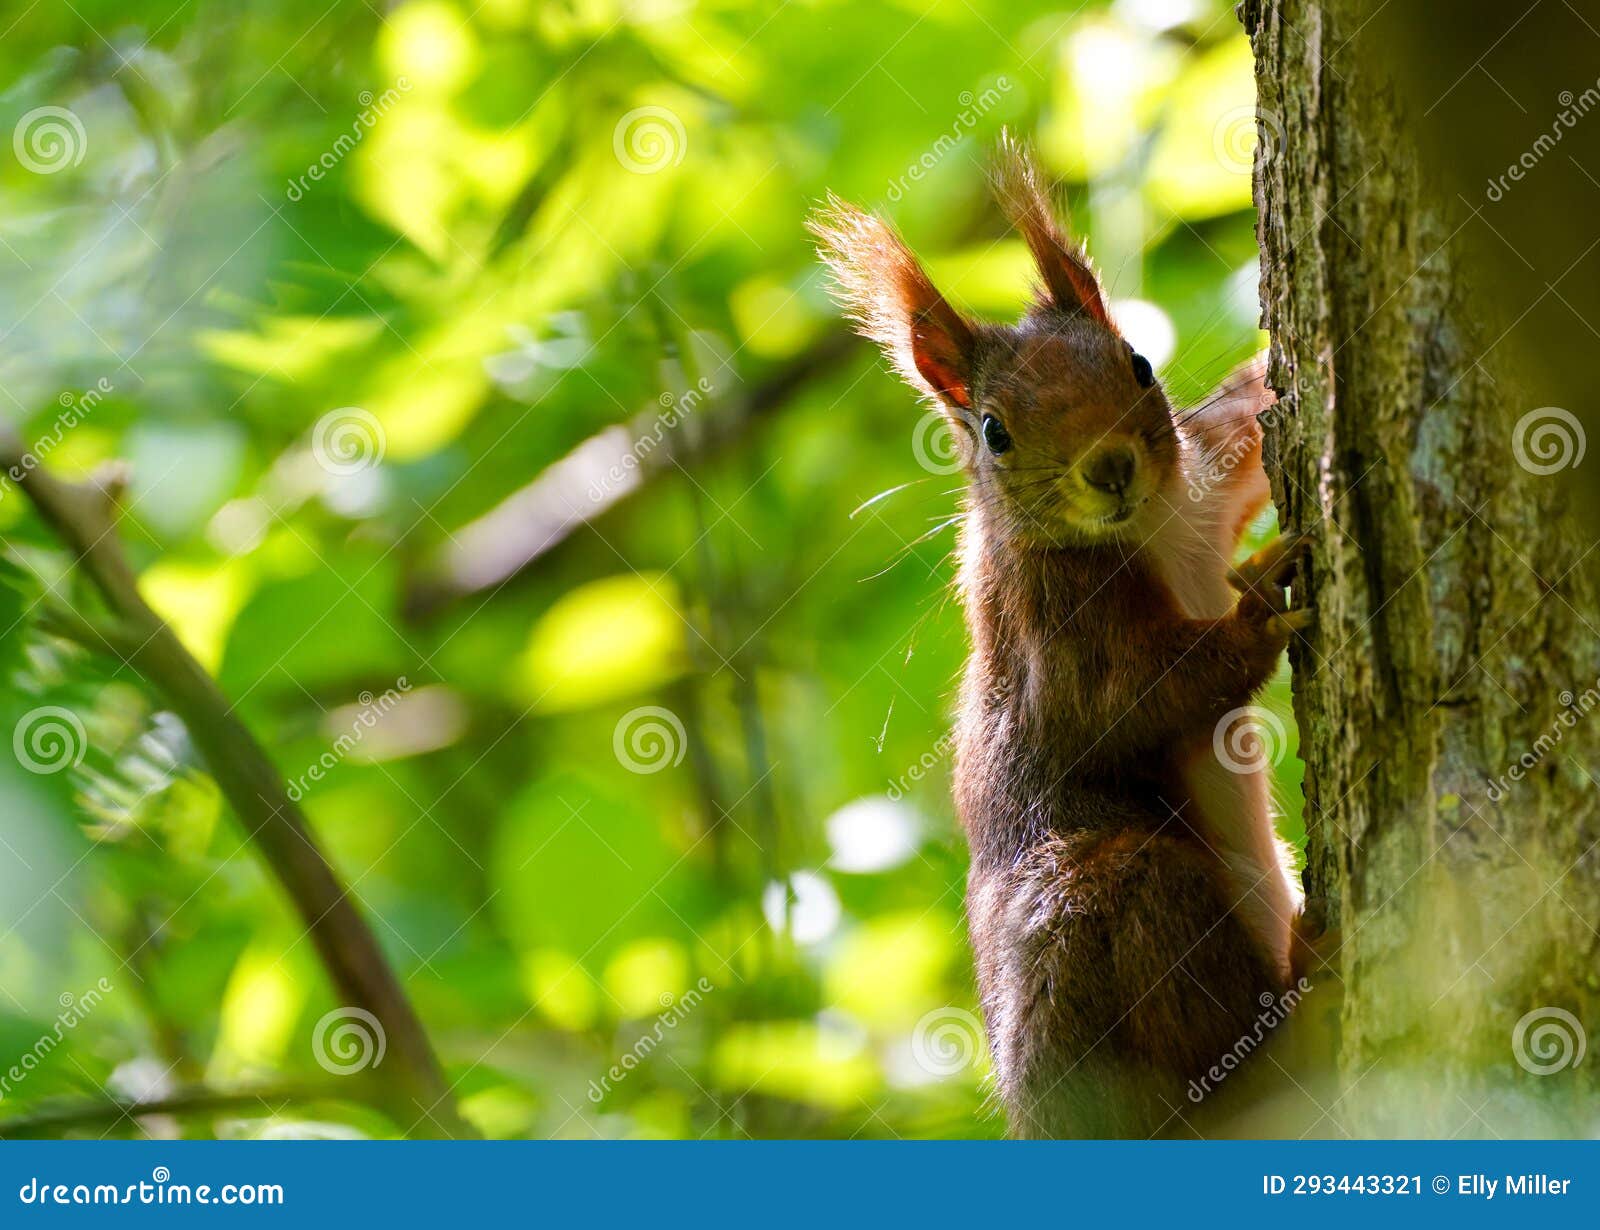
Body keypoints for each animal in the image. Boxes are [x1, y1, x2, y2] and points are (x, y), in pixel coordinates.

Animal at [811, 136, 1314, 1138]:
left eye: (1141, 363)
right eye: (994, 431)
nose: (1110, 468)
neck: (1151, 527)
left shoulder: (1203, 482)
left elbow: (1240, 426)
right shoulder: (1058, 630)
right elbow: (1136, 696)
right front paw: (1259, 606)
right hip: (1108, 907)